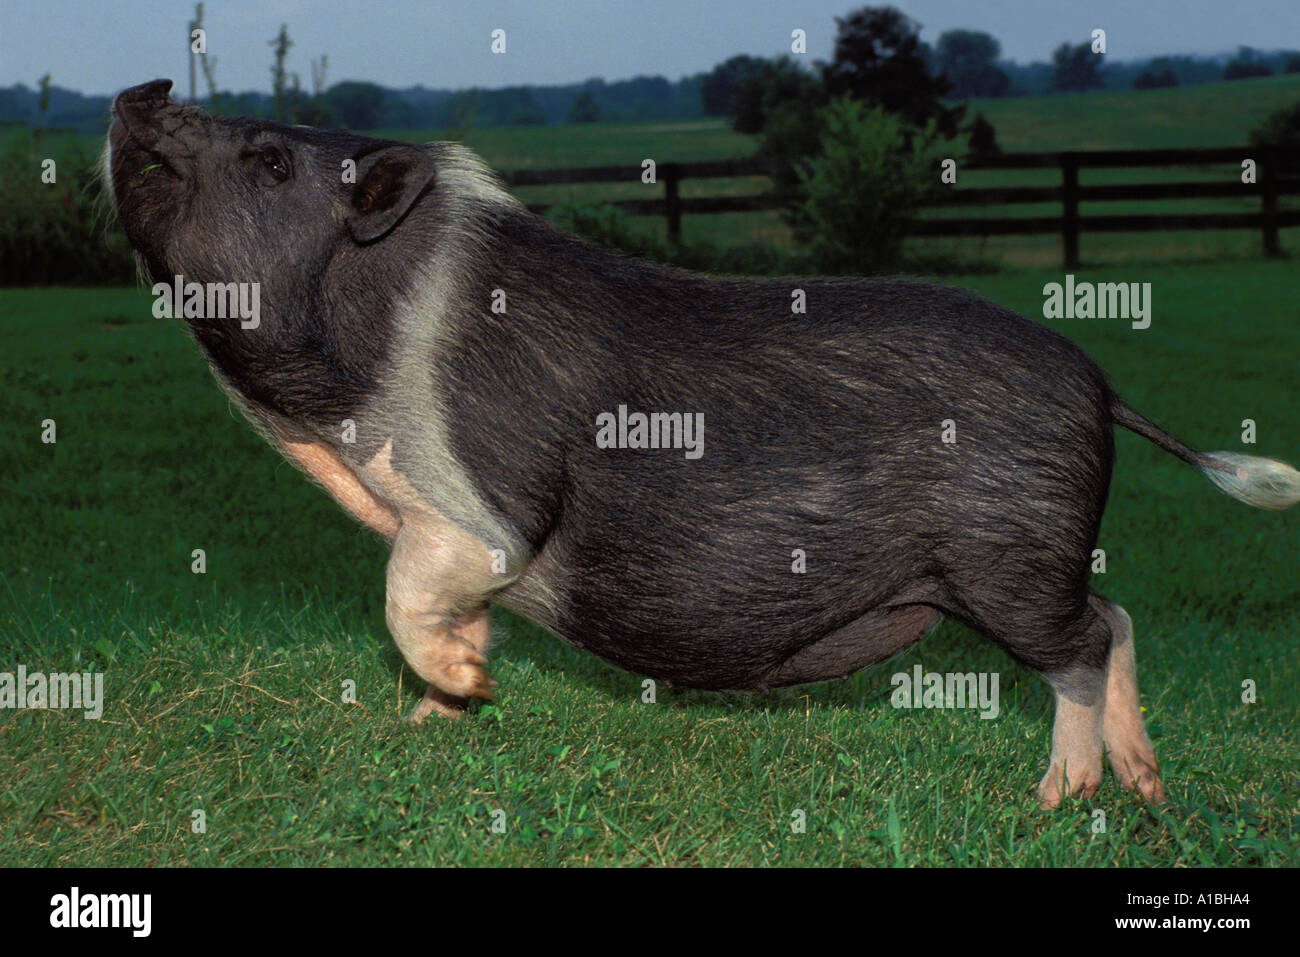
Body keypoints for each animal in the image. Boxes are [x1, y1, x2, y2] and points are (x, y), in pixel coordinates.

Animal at [105, 79, 1300, 808]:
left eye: (268, 158)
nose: (147, 90)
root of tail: (1102, 385)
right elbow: (443, 610)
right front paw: (436, 718)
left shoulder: (483, 505)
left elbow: (410, 588)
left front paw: (462, 691)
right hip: (1032, 561)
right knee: (1118, 613)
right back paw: (1143, 783)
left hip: (1006, 556)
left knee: (1084, 645)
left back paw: (1064, 795)